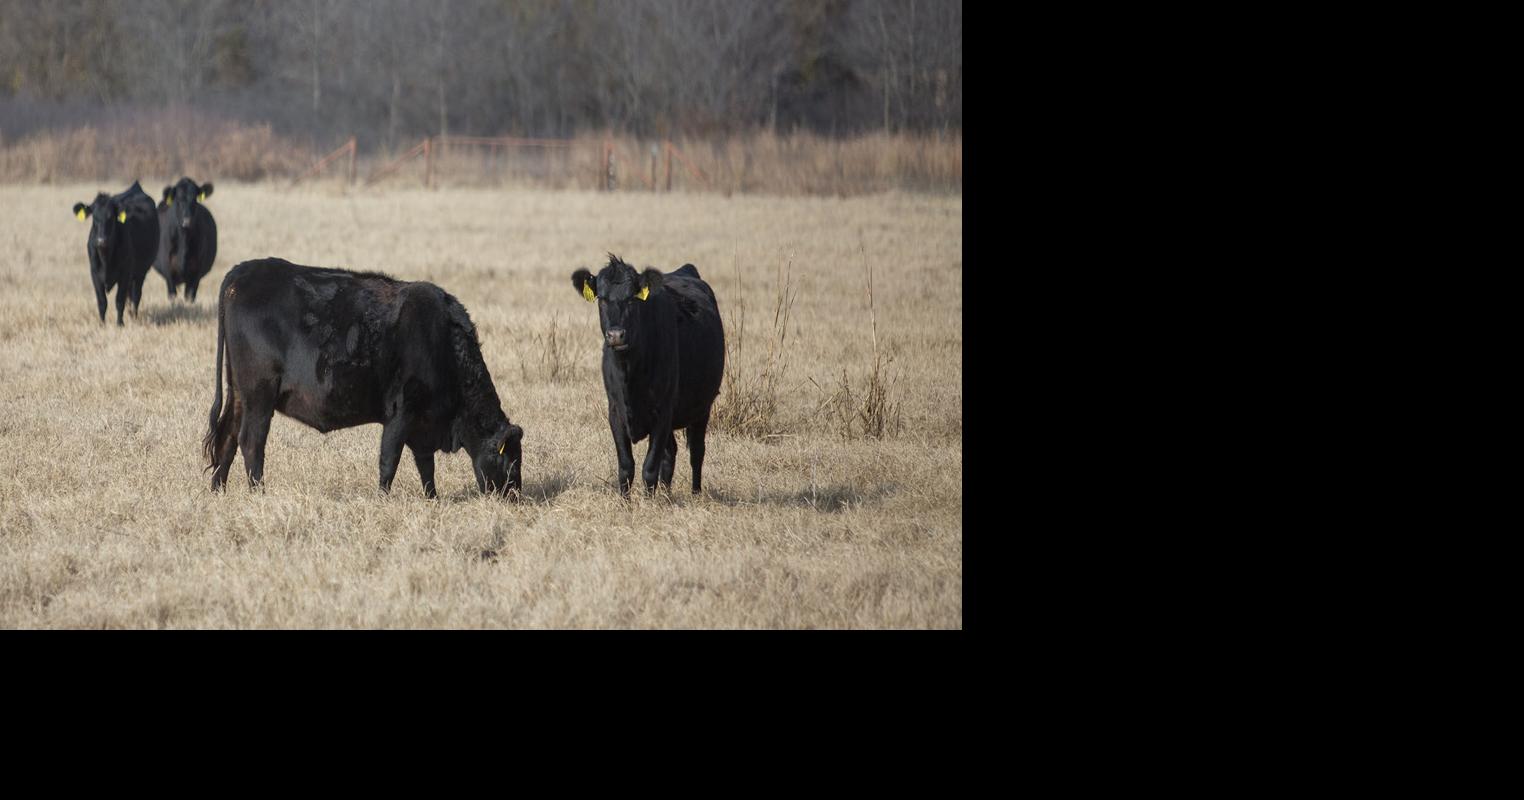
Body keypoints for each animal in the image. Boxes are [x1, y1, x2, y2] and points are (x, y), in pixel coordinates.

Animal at [71, 181, 159, 325]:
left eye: (111, 217)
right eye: (94, 218)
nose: (101, 241)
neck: (106, 257)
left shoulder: (125, 274)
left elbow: (119, 300)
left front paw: (120, 324)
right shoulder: (95, 274)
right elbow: (102, 302)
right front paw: (102, 324)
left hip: (141, 273)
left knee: (136, 296)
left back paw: (134, 317)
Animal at [203, 258, 523, 498]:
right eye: (511, 462)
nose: (515, 497)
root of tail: (241, 273)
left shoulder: (423, 426)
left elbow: (426, 466)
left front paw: (432, 498)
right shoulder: (401, 413)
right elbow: (389, 460)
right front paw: (383, 498)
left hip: (238, 393)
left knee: (227, 437)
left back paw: (218, 491)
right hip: (259, 395)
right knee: (251, 442)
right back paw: (259, 493)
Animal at [571, 254, 724, 497]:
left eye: (632, 300)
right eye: (601, 300)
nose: (616, 335)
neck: (630, 372)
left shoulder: (663, 411)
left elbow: (650, 468)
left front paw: (648, 502)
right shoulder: (615, 412)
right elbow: (626, 466)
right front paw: (626, 501)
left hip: (702, 408)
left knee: (697, 452)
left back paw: (696, 493)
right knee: (671, 453)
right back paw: (666, 495)